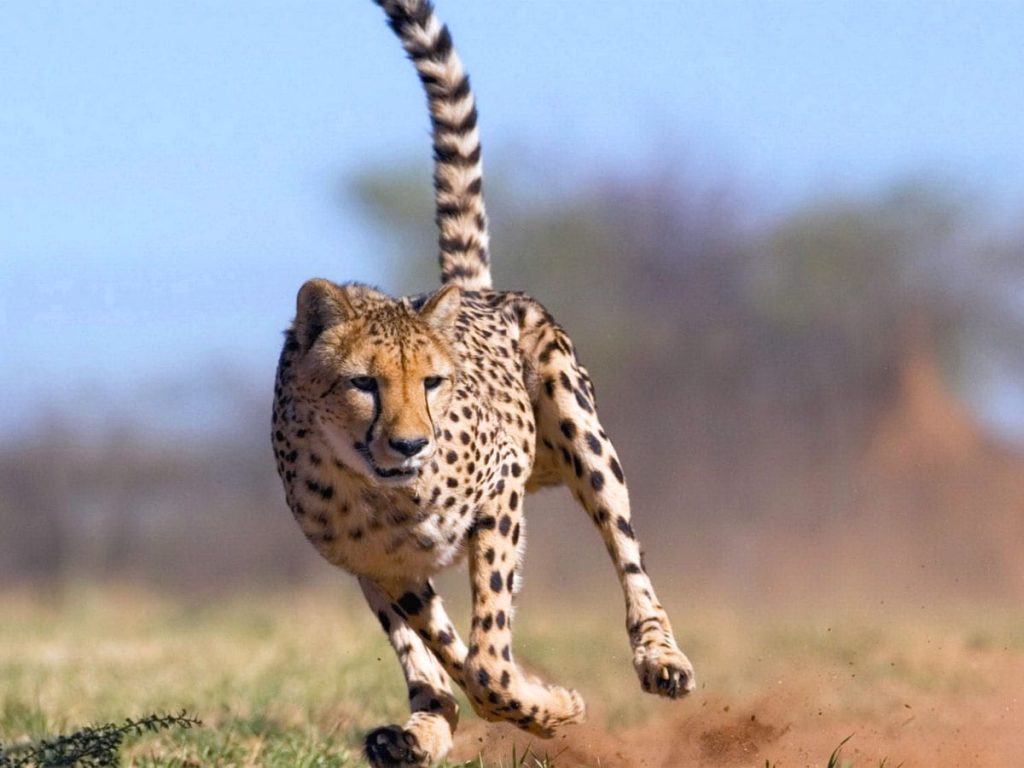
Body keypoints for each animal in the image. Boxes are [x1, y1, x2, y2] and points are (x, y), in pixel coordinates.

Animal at [271, 1, 695, 765]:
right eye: (363, 384)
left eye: (433, 383)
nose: (411, 444)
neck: (383, 491)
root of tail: (467, 291)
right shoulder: (383, 566)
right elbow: (455, 653)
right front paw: (538, 704)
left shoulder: (498, 497)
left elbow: (489, 658)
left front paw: (548, 707)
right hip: (373, 573)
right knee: (431, 660)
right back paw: (418, 729)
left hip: (576, 427)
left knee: (627, 553)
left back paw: (660, 658)